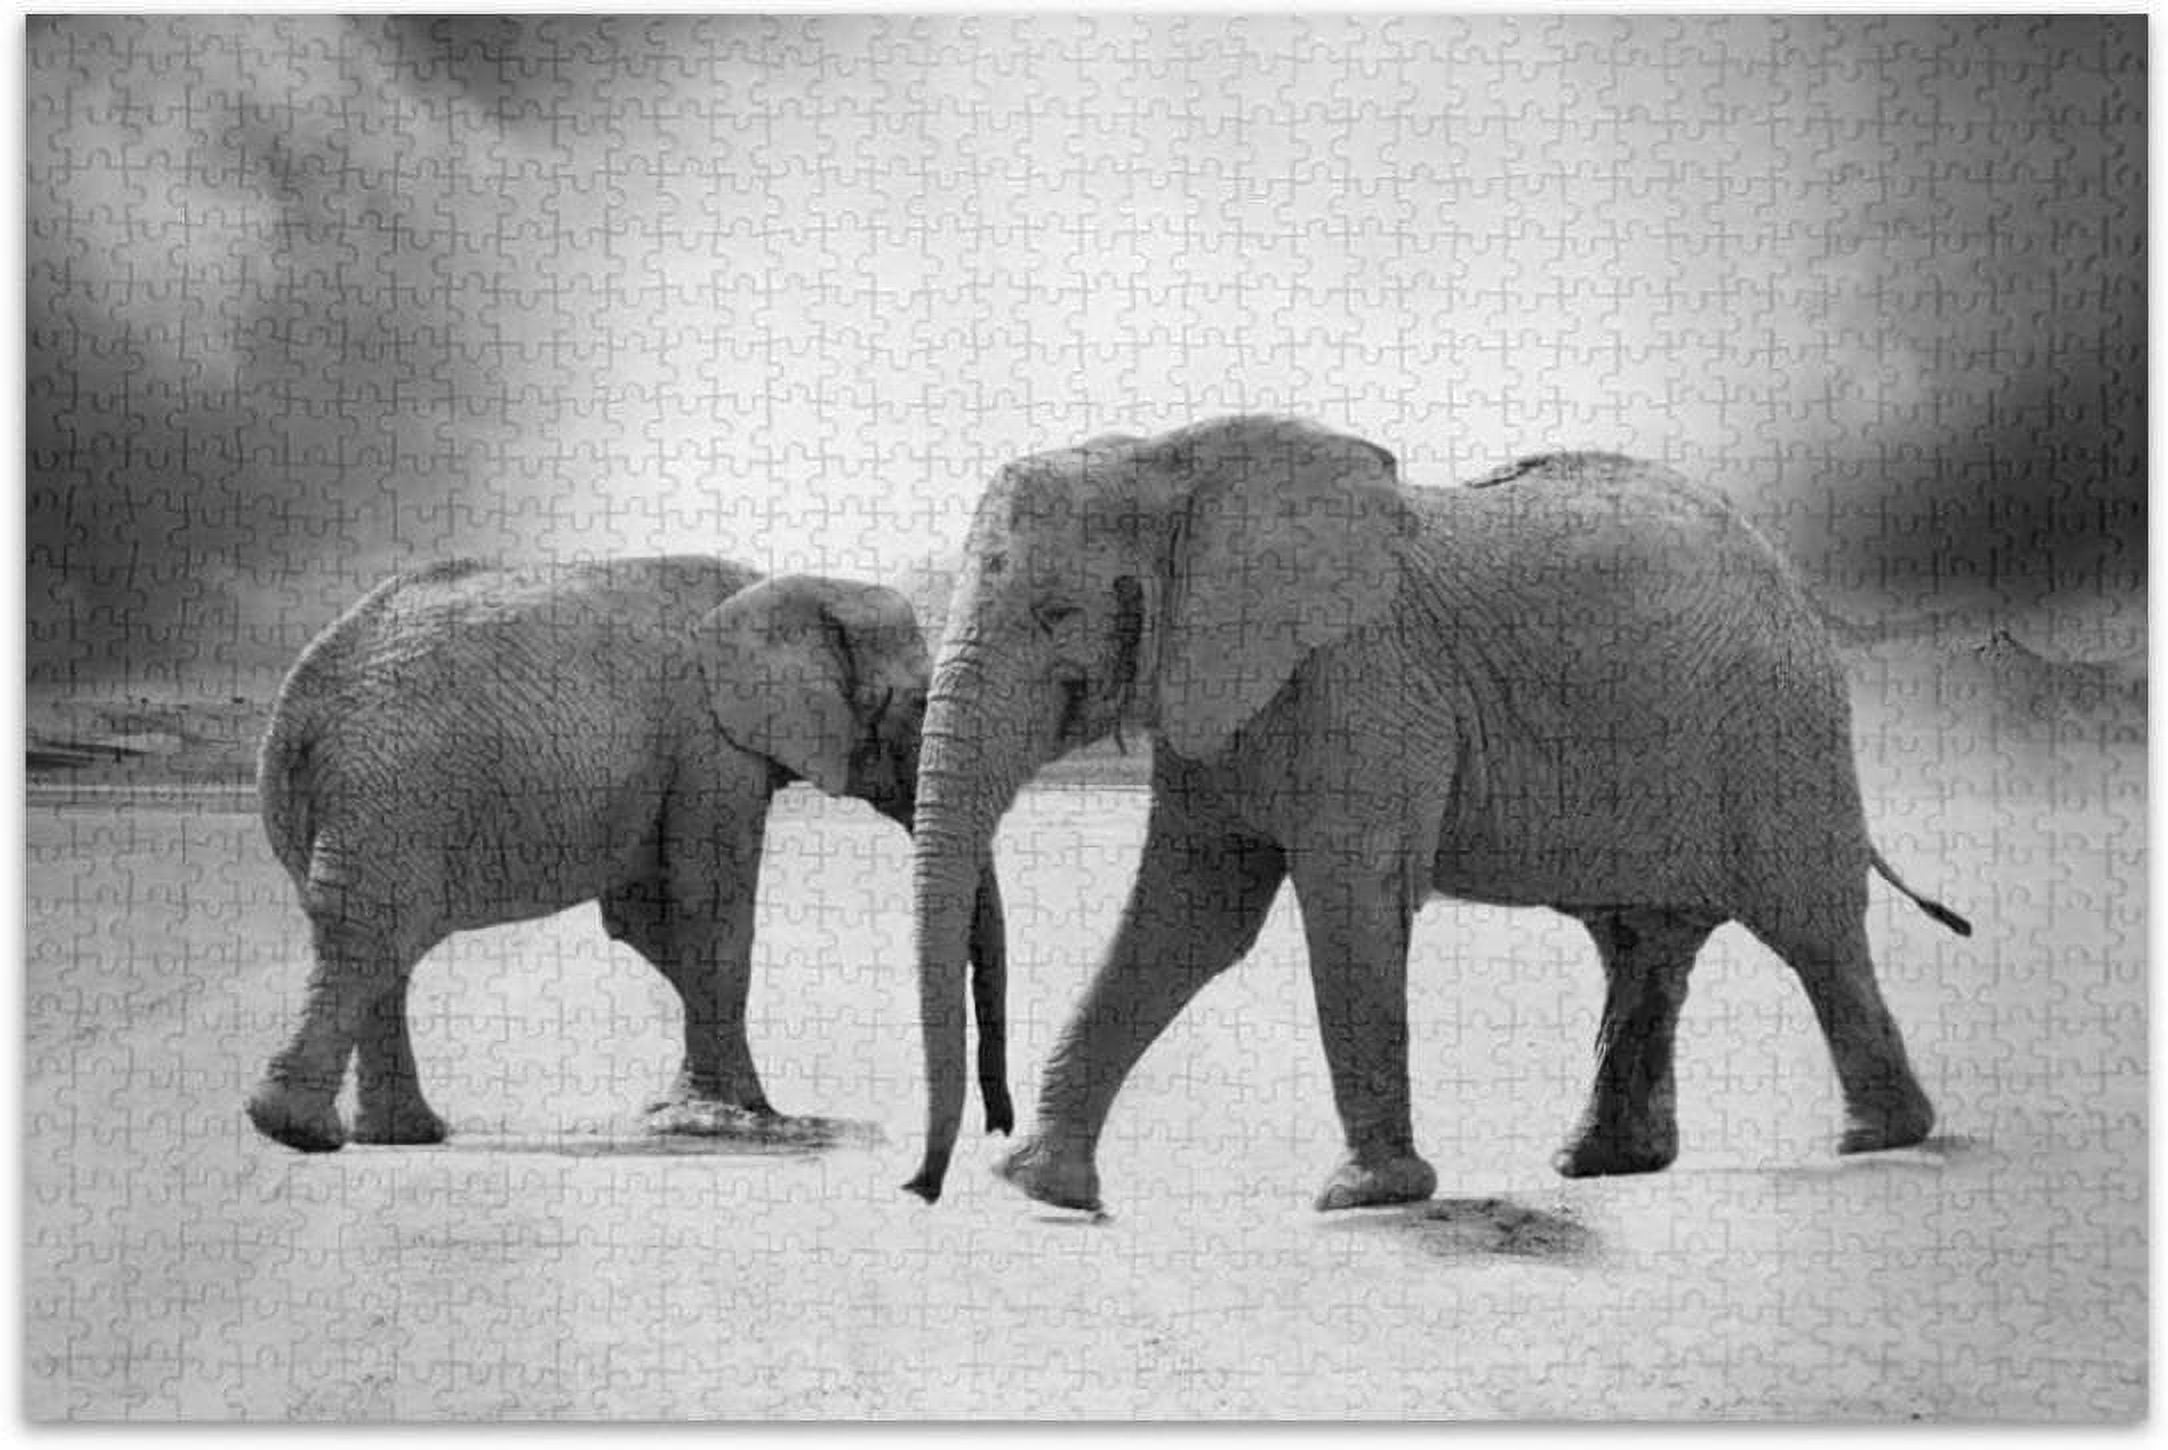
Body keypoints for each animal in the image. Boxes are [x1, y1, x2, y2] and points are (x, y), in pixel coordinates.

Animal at [245, 555, 1011, 1153]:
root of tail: (296, 711)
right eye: (919, 706)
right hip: (392, 789)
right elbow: (711, 911)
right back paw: (300, 1131)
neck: (793, 584)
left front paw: (716, 1108)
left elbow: (646, 919)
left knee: (376, 947)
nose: (998, 1127)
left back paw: (396, 1135)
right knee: (371, 939)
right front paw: (740, 1117)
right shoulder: (709, 740)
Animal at [900, 414, 1970, 1211]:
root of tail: (1790, 577)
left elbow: (1349, 905)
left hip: (1779, 730)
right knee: (1642, 945)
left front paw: (1369, 1197)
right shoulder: (1221, 696)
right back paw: (1601, 1165)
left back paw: (1879, 1137)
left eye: (1056, 616)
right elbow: (1189, 920)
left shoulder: (1365, 681)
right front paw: (1042, 1186)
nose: (923, 1186)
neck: (1169, 458)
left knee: (1810, 928)